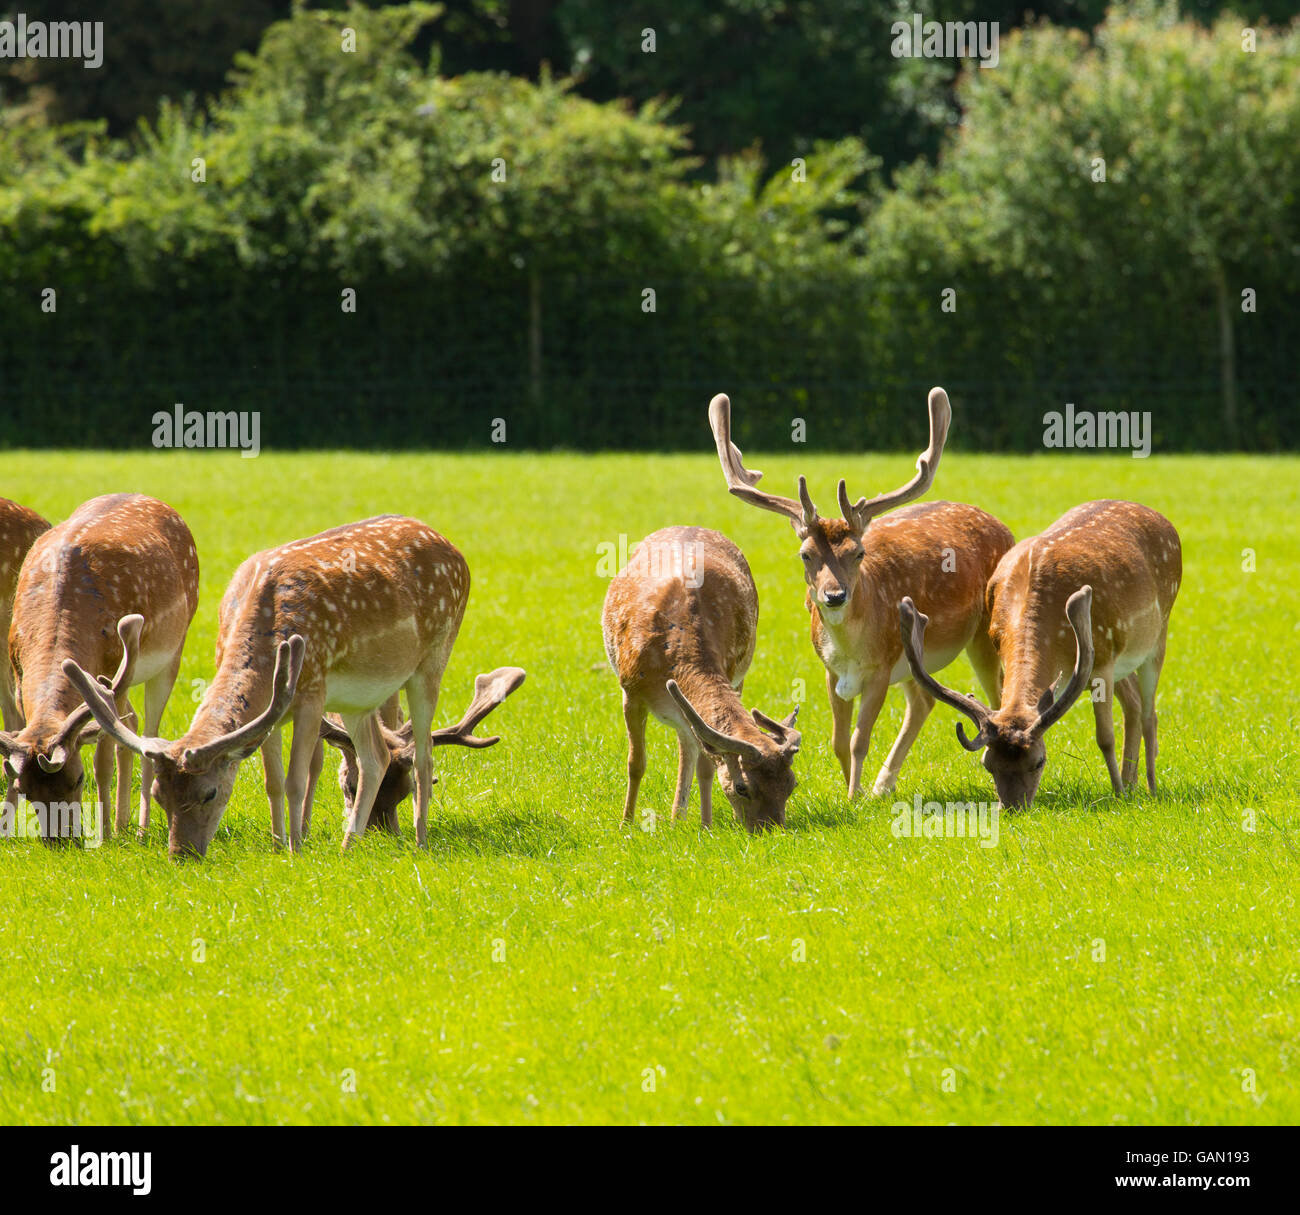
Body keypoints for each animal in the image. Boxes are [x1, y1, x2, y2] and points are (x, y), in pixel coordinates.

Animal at [2, 493, 199, 841]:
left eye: (78, 779)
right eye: (25, 789)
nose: (60, 841)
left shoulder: (112, 669)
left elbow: (103, 758)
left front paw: (105, 834)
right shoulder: (17, 671)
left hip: (173, 649)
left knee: (147, 733)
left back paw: (138, 828)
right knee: (132, 721)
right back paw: (124, 822)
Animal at [602, 525, 801, 832]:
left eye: (792, 784)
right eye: (743, 787)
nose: (771, 830)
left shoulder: (728, 675)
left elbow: (707, 766)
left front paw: (706, 825)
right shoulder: (630, 690)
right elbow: (636, 762)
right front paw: (626, 823)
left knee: (688, 746)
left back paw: (678, 817)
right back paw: (675, 817)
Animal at [709, 388, 1014, 799]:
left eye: (858, 553)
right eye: (806, 554)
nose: (835, 596)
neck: (851, 649)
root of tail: (1005, 528)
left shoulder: (881, 667)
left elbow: (858, 740)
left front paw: (855, 796)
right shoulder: (830, 670)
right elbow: (838, 740)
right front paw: (850, 793)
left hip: (980, 633)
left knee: (997, 694)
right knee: (924, 701)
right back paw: (883, 786)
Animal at [898, 499, 1181, 808]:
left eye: (1039, 761)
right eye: (988, 765)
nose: (1012, 808)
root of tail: (1159, 517)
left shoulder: (1102, 659)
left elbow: (1104, 736)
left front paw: (1116, 795)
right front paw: (1122, 789)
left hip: (1159, 633)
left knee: (1149, 713)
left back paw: (1149, 788)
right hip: (1123, 662)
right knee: (1134, 703)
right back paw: (1131, 784)